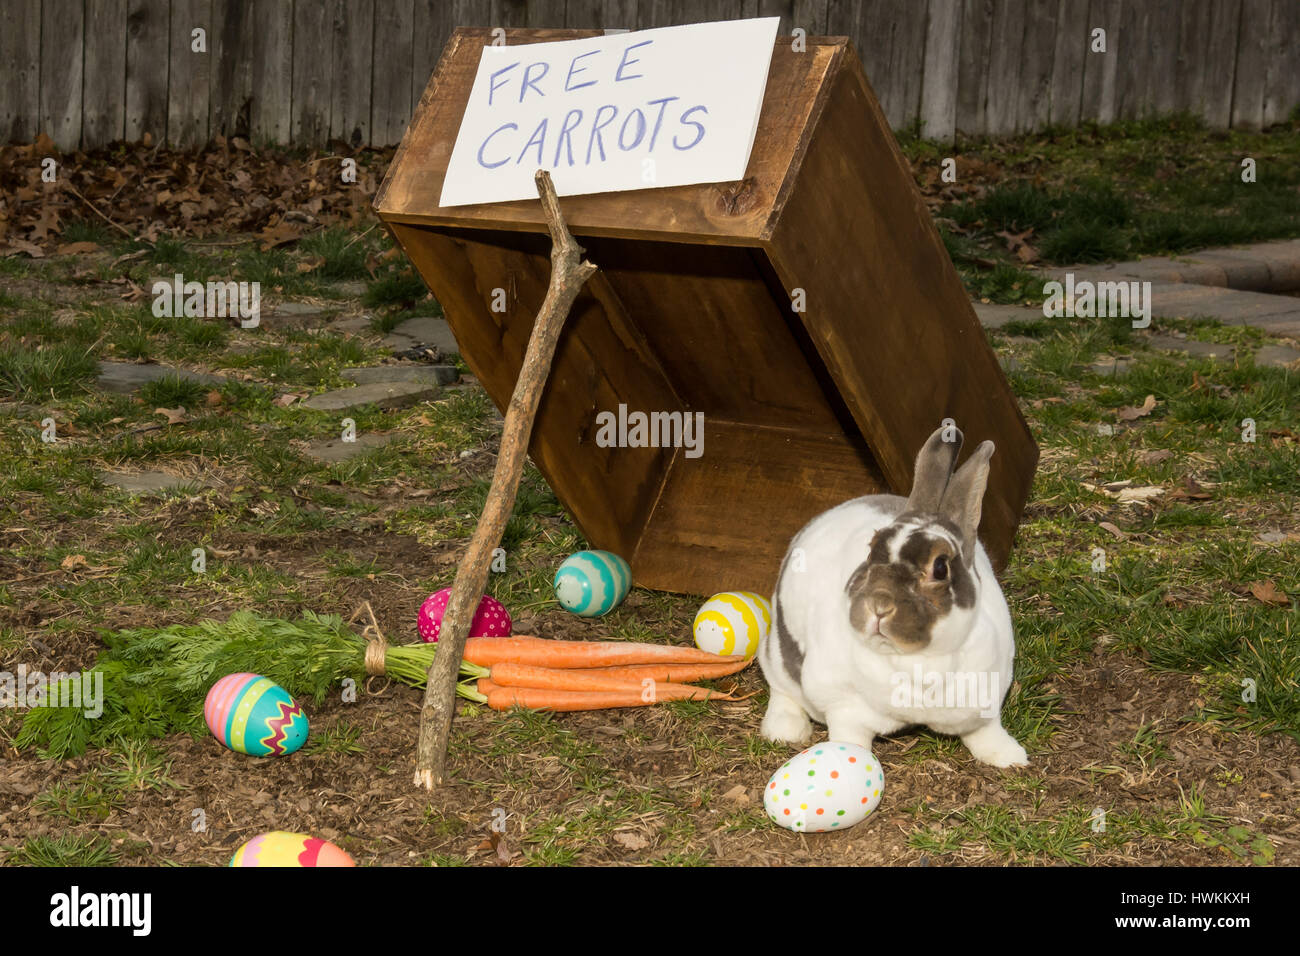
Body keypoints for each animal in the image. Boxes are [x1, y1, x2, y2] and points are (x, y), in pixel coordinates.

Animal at [757, 424, 1028, 768]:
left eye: (940, 567)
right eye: (872, 549)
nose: (879, 605)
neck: (919, 660)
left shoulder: (983, 703)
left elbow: (986, 732)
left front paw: (1012, 757)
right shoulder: (845, 707)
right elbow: (849, 737)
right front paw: (847, 761)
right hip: (778, 655)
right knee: (779, 686)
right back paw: (785, 729)